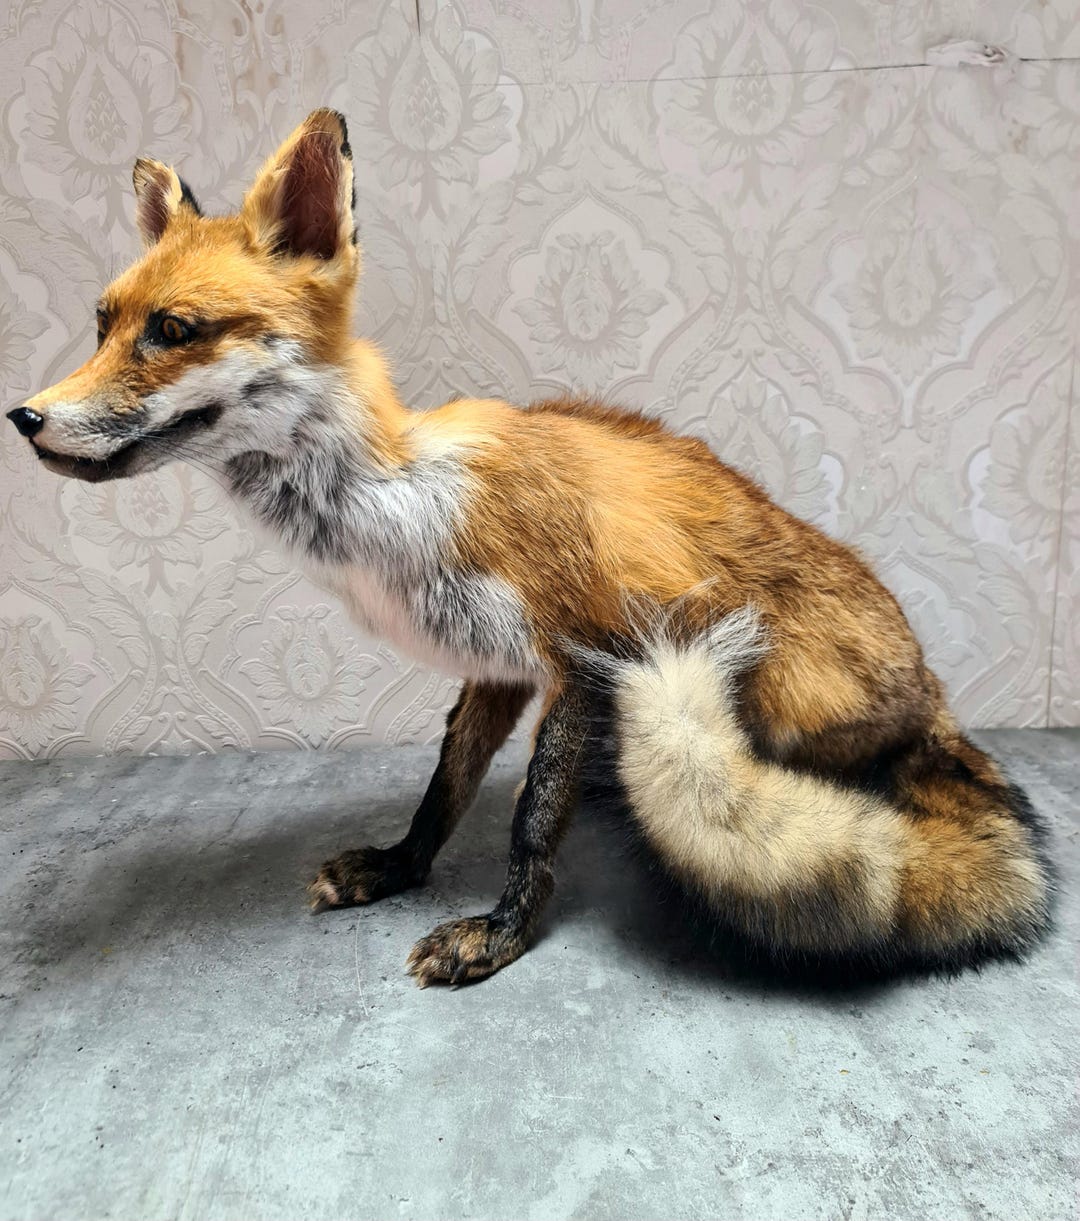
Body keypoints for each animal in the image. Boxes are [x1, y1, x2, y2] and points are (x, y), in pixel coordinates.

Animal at [9, 109, 1051, 985]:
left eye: (172, 330)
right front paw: (399, 866)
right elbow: (446, 786)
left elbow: (530, 816)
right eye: (102, 324)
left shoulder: (591, 652)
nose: (24, 417)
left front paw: (502, 929)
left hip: (777, 678)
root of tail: (936, 696)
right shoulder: (499, 664)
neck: (400, 503)